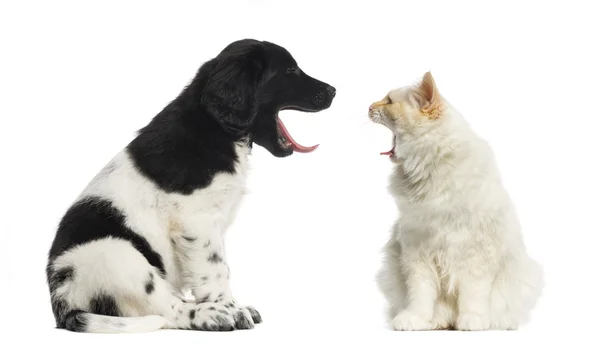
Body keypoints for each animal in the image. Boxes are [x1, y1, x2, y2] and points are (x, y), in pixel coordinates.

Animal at [45, 39, 338, 334]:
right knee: (166, 309)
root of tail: (62, 304)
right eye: (290, 70)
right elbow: (216, 268)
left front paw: (234, 306)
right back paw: (209, 315)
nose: (333, 91)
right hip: (117, 254)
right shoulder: (197, 219)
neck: (215, 129)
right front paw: (230, 310)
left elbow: (219, 268)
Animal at [370, 71, 544, 332]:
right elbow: (420, 294)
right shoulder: (416, 250)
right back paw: (438, 322)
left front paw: (472, 320)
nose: (369, 107)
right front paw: (415, 319)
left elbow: (473, 293)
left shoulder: (475, 253)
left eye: (389, 101)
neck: (430, 168)